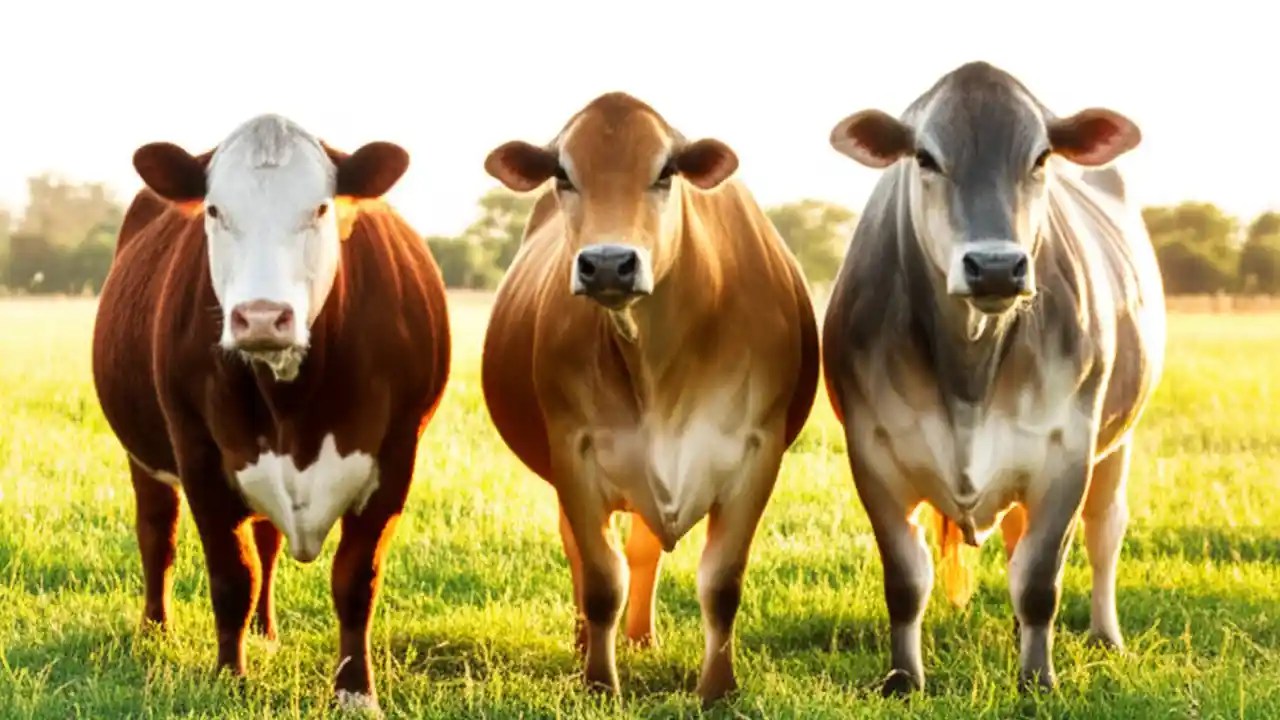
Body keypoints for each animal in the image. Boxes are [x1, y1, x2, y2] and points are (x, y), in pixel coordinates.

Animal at [91, 114, 451, 713]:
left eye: (321, 208)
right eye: (215, 210)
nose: (261, 317)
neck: (291, 400)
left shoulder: (398, 453)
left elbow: (356, 578)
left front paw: (356, 692)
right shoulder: (199, 452)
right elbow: (232, 574)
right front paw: (229, 676)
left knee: (268, 543)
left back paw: (266, 632)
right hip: (144, 456)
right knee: (158, 534)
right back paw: (156, 629)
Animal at [479, 92, 820, 704]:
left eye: (665, 171)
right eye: (563, 173)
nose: (607, 263)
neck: (657, 361)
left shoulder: (758, 451)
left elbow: (721, 581)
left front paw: (718, 689)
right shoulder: (574, 451)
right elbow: (600, 578)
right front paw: (598, 682)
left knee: (642, 550)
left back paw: (641, 639)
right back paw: (587, 644)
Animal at [821, 61, 1166, 695]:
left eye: (1041, 156)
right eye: (925, 157)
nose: (997, 267)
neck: (969, 372)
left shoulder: (1067, 455)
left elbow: (1039, 580)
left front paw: (1038, 679)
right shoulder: (874, 456)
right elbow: (906, 581)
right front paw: (903, 678)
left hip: (1118, 442)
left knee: (1104, 532)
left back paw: (1106, 636)